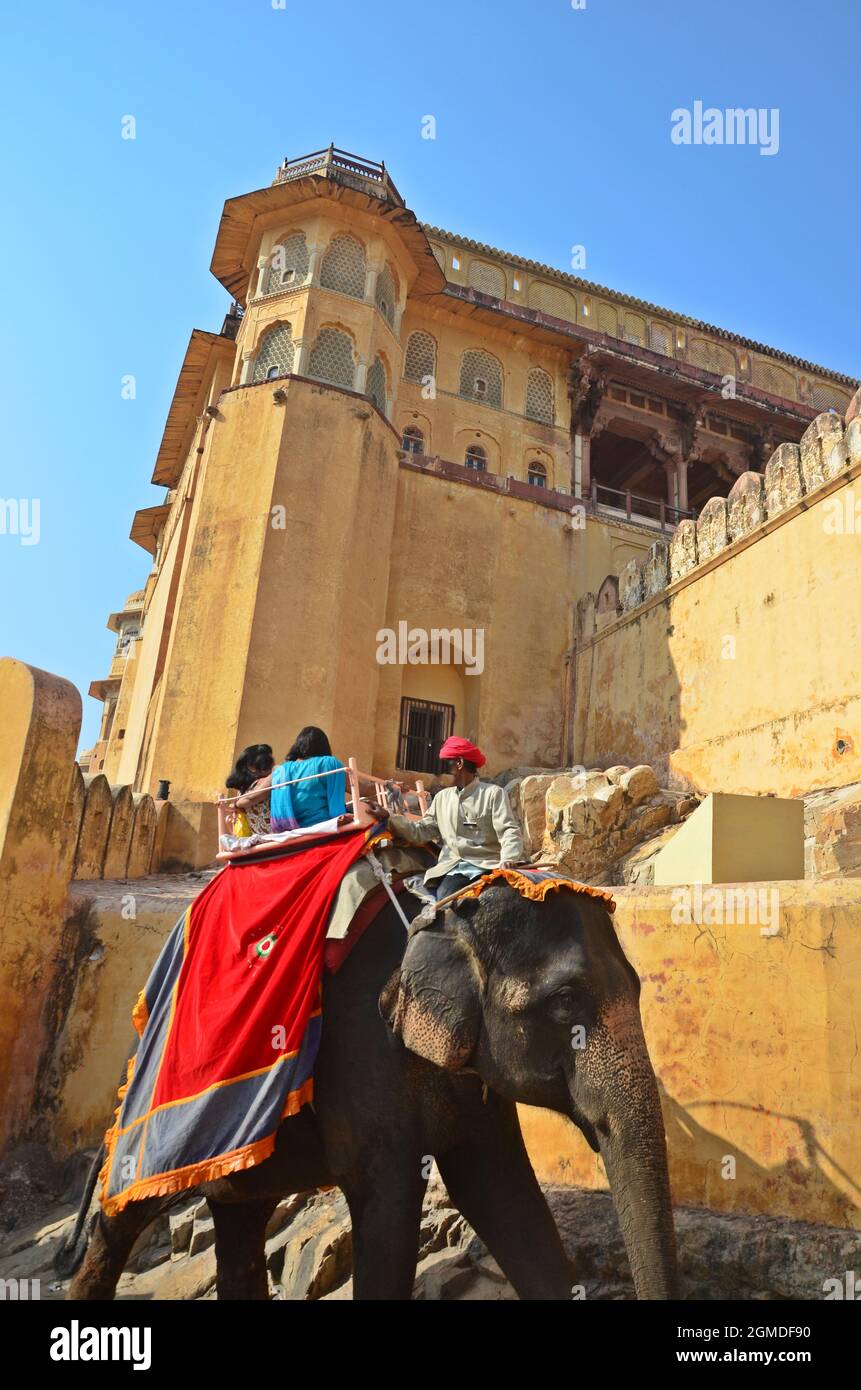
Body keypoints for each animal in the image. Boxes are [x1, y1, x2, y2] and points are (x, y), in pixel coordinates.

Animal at [62, 881, 678, 1300]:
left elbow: (503, 1191)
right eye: (566, 1001)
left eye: (638, 987)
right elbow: (389, 1206)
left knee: (241, 1218)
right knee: (121, 1217)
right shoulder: (361, 1052)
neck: (445, 912)